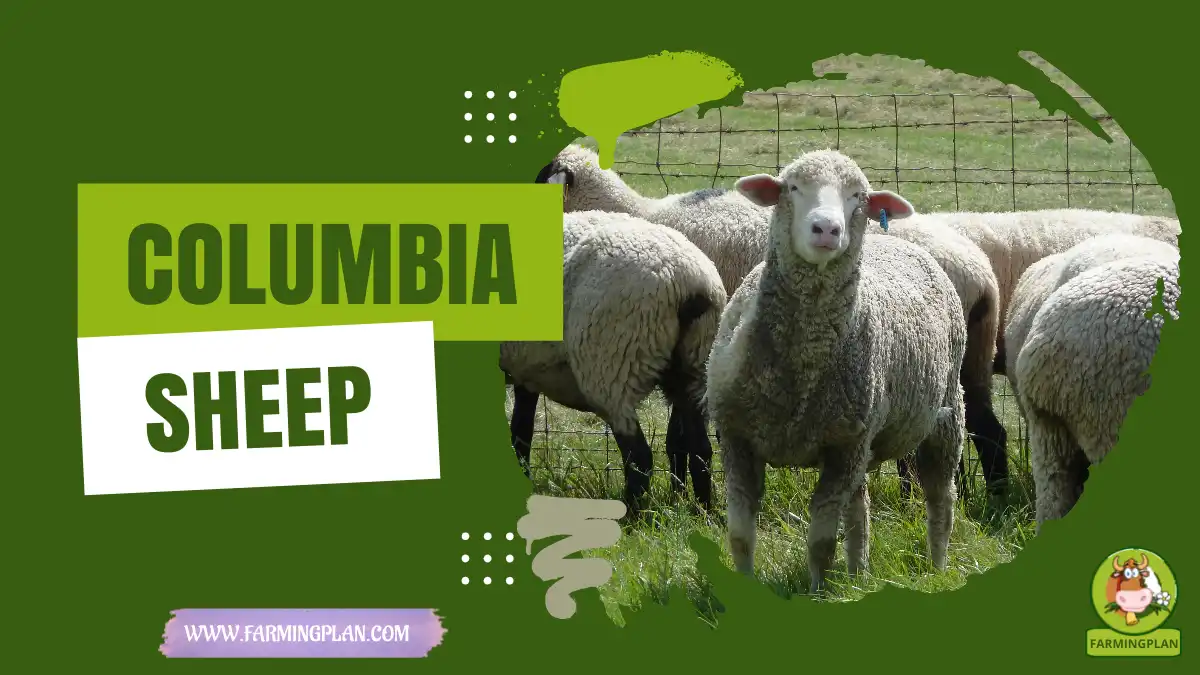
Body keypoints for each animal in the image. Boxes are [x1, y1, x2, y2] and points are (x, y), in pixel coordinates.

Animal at [502, 210, 728, 515]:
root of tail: (690, 281)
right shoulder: (526, 369)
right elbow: (521, 435)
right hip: (694, 365)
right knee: (700, 448)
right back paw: (704, 510)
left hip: (614, 365)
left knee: (639, 456)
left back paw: (631, 516)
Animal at [538, 143, 1008, 500]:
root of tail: (981, 274)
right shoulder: (701, 362)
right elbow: (679, 437)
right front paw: (682, 496)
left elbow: (681, 437)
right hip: (967, 362)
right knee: (984, 429)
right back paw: (987, 498)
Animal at [705, 149, 967, 593]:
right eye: (793, 187)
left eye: (858, 195)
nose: (827, 228)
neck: (801, 367)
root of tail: (893, 239)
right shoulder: (737, 437)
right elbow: (740, 535)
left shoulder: (842, 448)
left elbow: (821, 542)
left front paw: (816, 594)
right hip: (860, 437)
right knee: (859, 508)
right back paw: (859, 573)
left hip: (943, 416)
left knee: (940, 498)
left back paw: (937, 567)